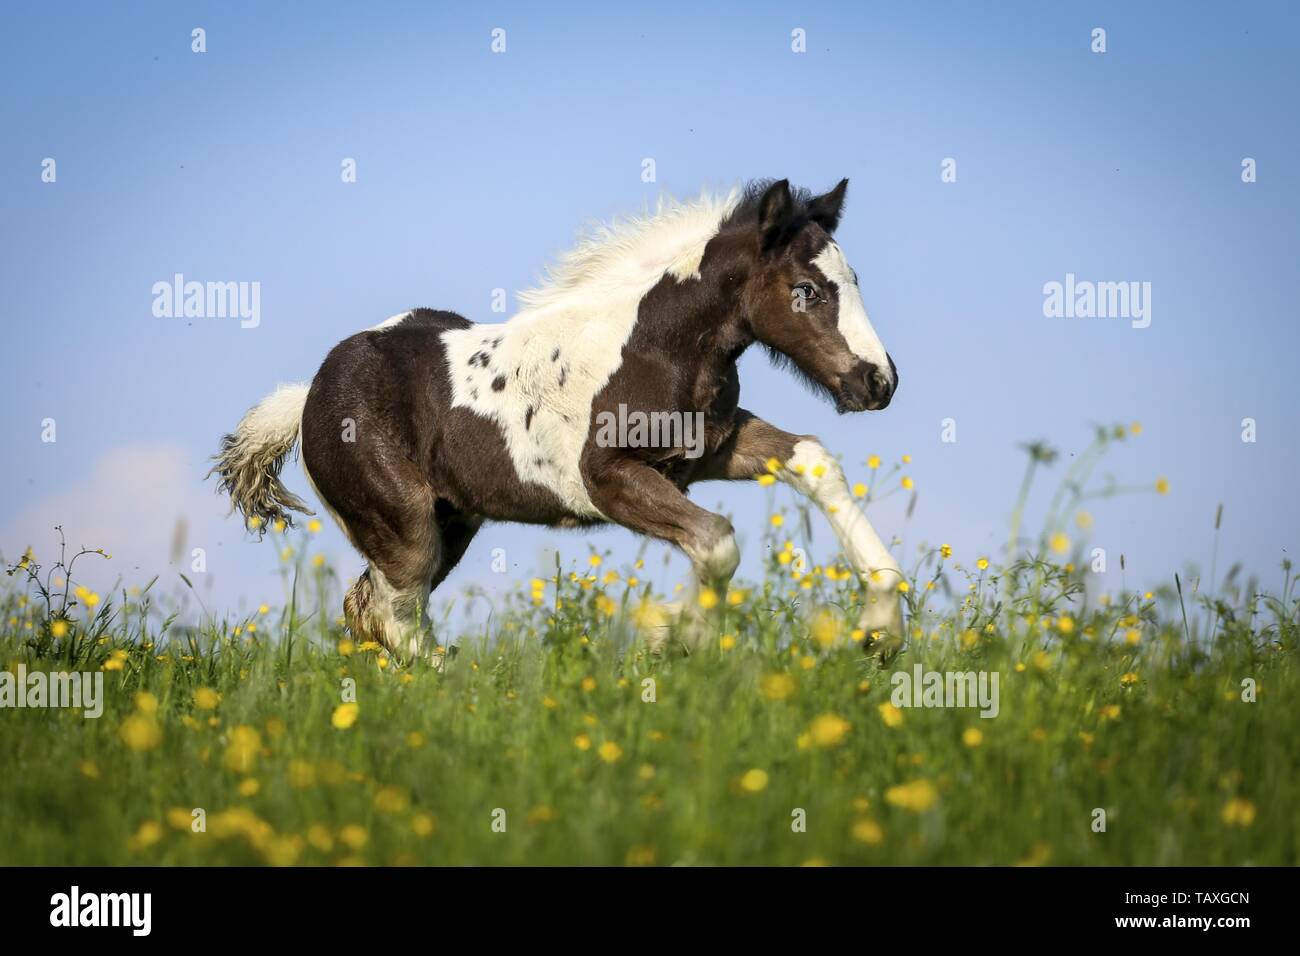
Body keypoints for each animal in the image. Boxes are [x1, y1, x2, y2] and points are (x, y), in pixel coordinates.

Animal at [210, 178, 903, 660]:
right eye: (805, 289)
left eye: (854, 278)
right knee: (397, 618)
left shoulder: (707, 450)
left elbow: (811, 459)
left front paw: (880, 630)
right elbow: (716, 541)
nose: (879, 382)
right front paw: (679, 641)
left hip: (452, 524)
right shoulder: (607, 479)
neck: (652, 344)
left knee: (367, 611)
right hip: (403, 527)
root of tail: (307, 395)